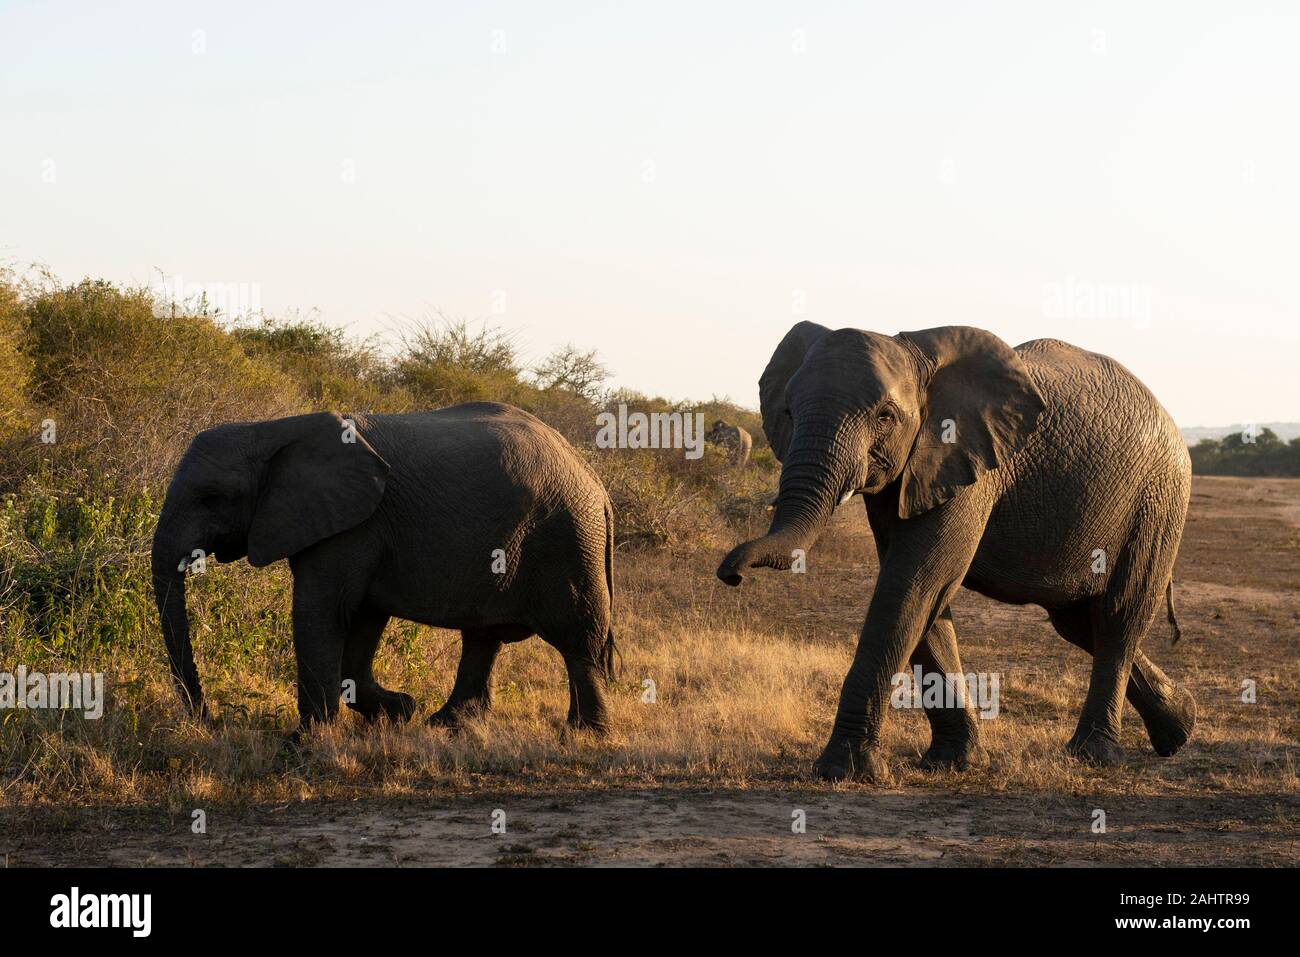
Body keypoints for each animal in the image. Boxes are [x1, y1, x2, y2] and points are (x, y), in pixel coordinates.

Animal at [152, 402, 617, 737]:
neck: (272, 430)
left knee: (578, 636)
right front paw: (399, 710)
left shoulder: (355, 524)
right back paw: (446, 725)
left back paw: (584, 735)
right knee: (483, 637)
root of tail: (595, 480)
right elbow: (361, 618)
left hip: (568, 536)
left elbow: (321, 612)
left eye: (212, 497)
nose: (209, 722)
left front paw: (304, 743)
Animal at [717, 323, 1195, 783]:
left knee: (1117, 616)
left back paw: (1095, 755)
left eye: (885, 417)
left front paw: (843, 771)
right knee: (1077, 621)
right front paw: (955, 762)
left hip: (1159, 500)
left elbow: (913, 584)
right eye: (788, 413)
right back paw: (1180, 727)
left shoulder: (968, 466)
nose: (730, 574)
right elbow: (927, 598)